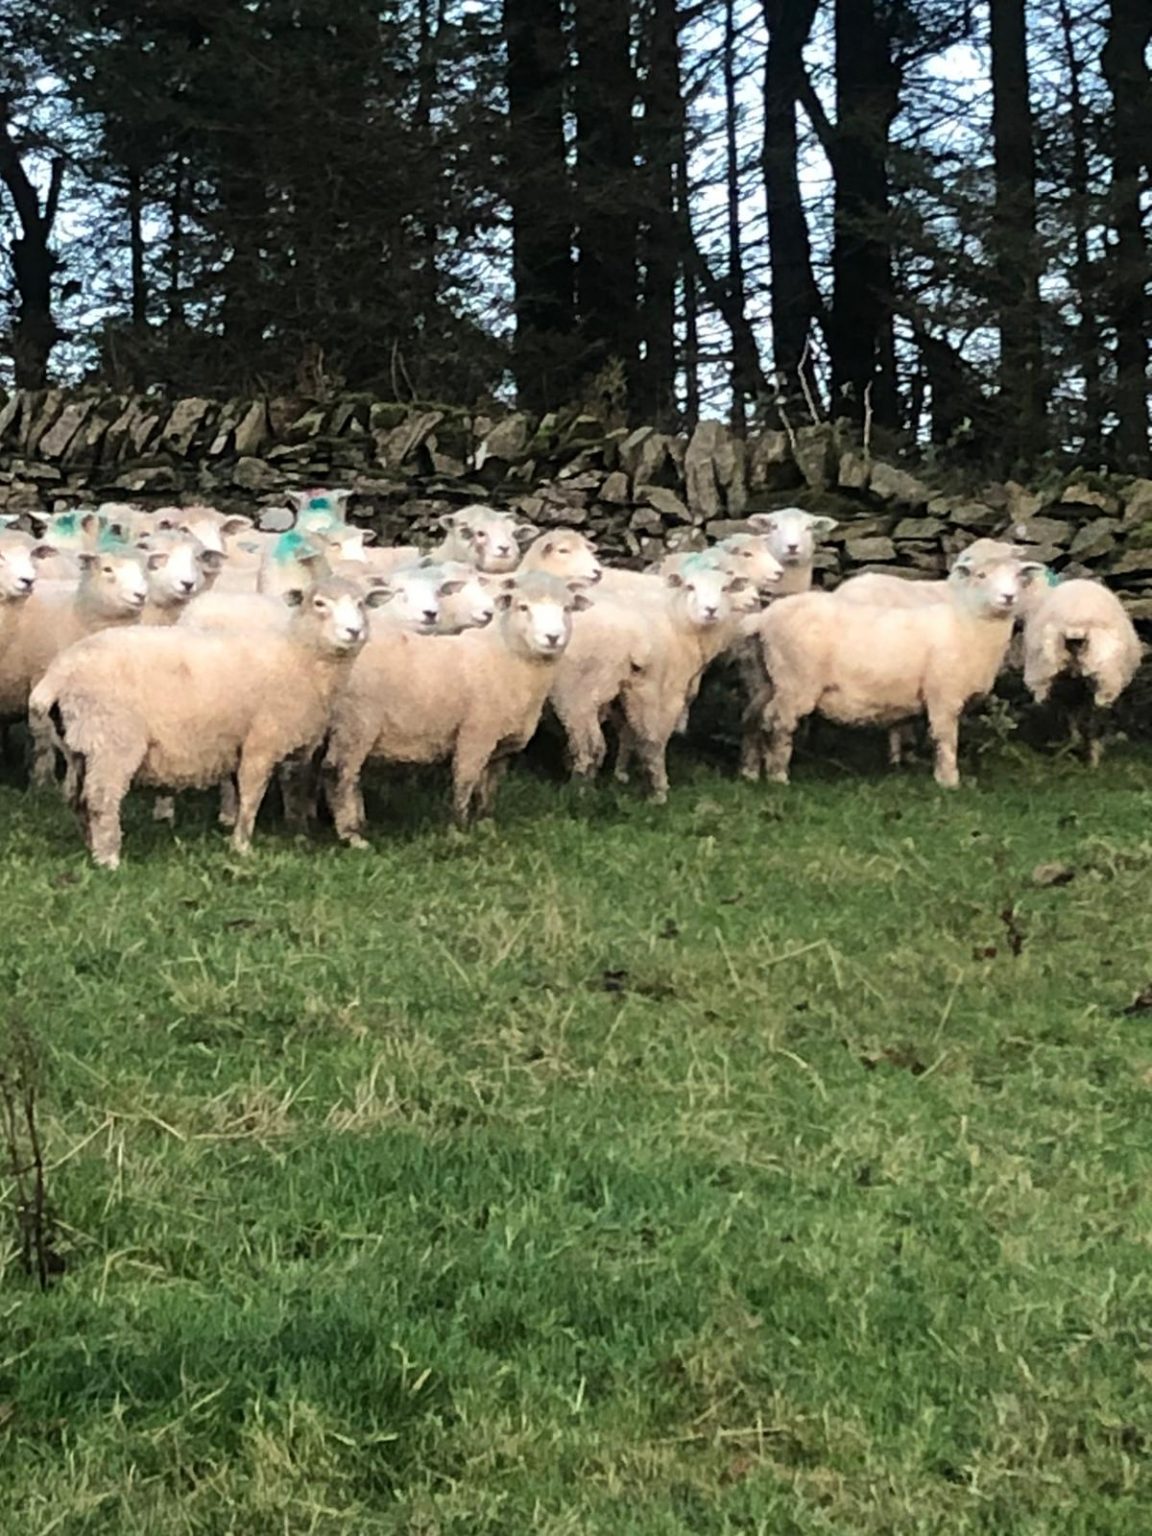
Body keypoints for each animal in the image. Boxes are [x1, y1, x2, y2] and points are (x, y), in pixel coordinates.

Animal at [30, 578, 385, 868]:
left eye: (362, 604)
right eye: (319, 603)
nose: (354, 632)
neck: (299, 658)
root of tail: (58, 672)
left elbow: (241, 793)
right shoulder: (261, 741)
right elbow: (252, 795)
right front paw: (241, 846)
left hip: (80, 741)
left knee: (75, 796)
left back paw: (90, 846)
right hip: (113, 739)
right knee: (101, 799)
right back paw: (108, 858)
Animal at [322, 571, 590, 841]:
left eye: (567, 608)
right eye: (523, 607)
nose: (553, 637)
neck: (508, 658)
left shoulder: (502, 747)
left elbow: (488, 788)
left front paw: (486, 824)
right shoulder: (475, 734)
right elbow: (465, 781)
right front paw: (459, 831)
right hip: (355, 723)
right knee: (339, 774)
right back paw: (352, 834)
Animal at [740, 551, 1044, 787]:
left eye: (1019, 577)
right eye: (981, 576)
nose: (1008, 597)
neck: (968, 625)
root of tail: (765, 617)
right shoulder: (943, 695)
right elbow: (946, 738)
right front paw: (949, 781)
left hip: (767, 678)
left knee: (754, 718)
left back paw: (751, 772)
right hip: (795, 682)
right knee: (778, 723)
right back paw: (778, 776)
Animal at [1018, 575, 1143, 766]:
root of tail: (1075, 625)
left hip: (1048, 672)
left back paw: (1066, 750)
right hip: (1103, 678)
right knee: (1094, 717)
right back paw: (1091, 760)